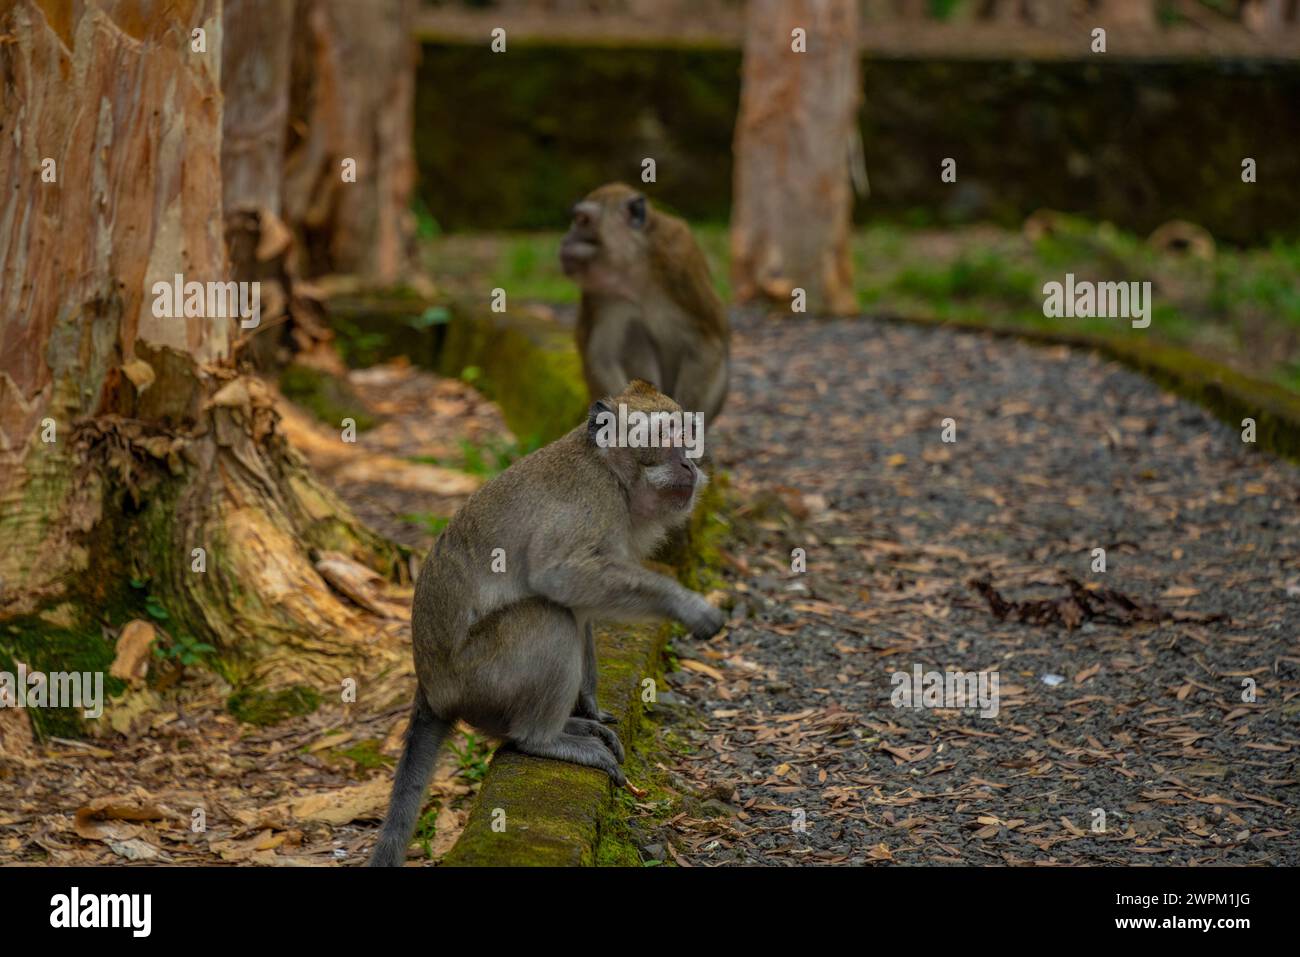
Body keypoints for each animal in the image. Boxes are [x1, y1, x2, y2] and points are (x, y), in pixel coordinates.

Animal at [368, 379, 726, 867]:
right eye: (664, 435)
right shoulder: (590, 503)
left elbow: (582, 606)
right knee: (547, 619)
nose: (690, 461)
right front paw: (687, 605)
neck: (611, 471)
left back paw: (566, 725)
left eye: (686, 433)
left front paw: (589, 704)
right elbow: (559, 578)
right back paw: (543, 739)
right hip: (478, 677)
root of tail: (430, 688)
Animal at [560, 183, 730, 427]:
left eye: (583, 220)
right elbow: (602, 356)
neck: (635, 266)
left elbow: (706, 342)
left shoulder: (679, 261)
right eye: (577, 220)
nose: (566, 240)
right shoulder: (599, 294)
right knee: (634, 330)